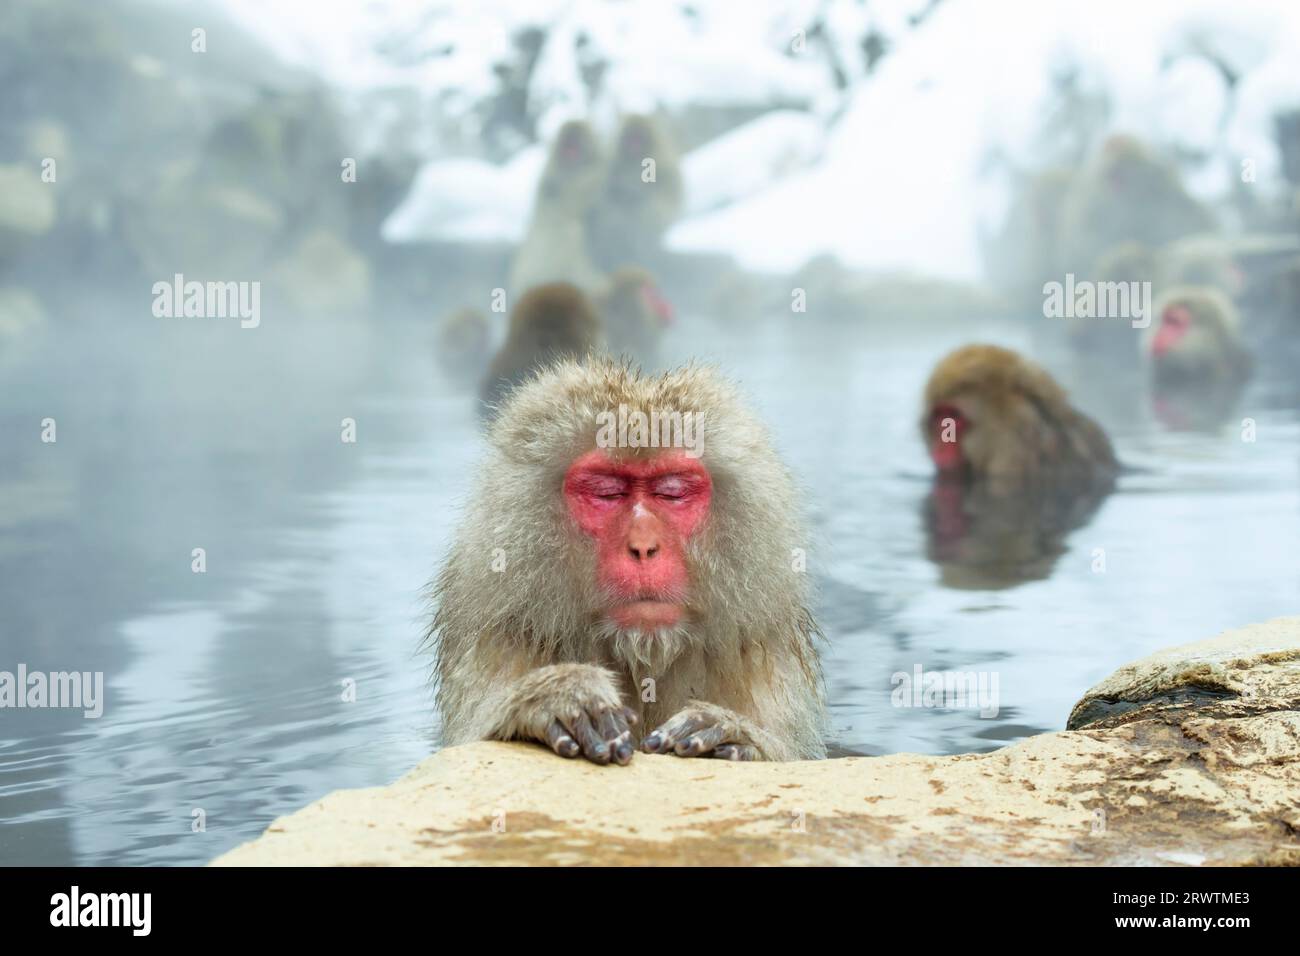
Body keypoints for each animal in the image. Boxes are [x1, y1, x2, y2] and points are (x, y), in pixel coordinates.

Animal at [431, 357, 827, 764]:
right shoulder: (507, 629)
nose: (643, 546)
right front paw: (557, 697)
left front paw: (734, 736)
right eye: (608, 492)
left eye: (672, 492)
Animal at [586, 114, 684, 272]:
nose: (633, 148)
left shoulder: (665, 165)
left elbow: (664, 205)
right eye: (630, 140)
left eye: (638, 140)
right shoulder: (611, 159)